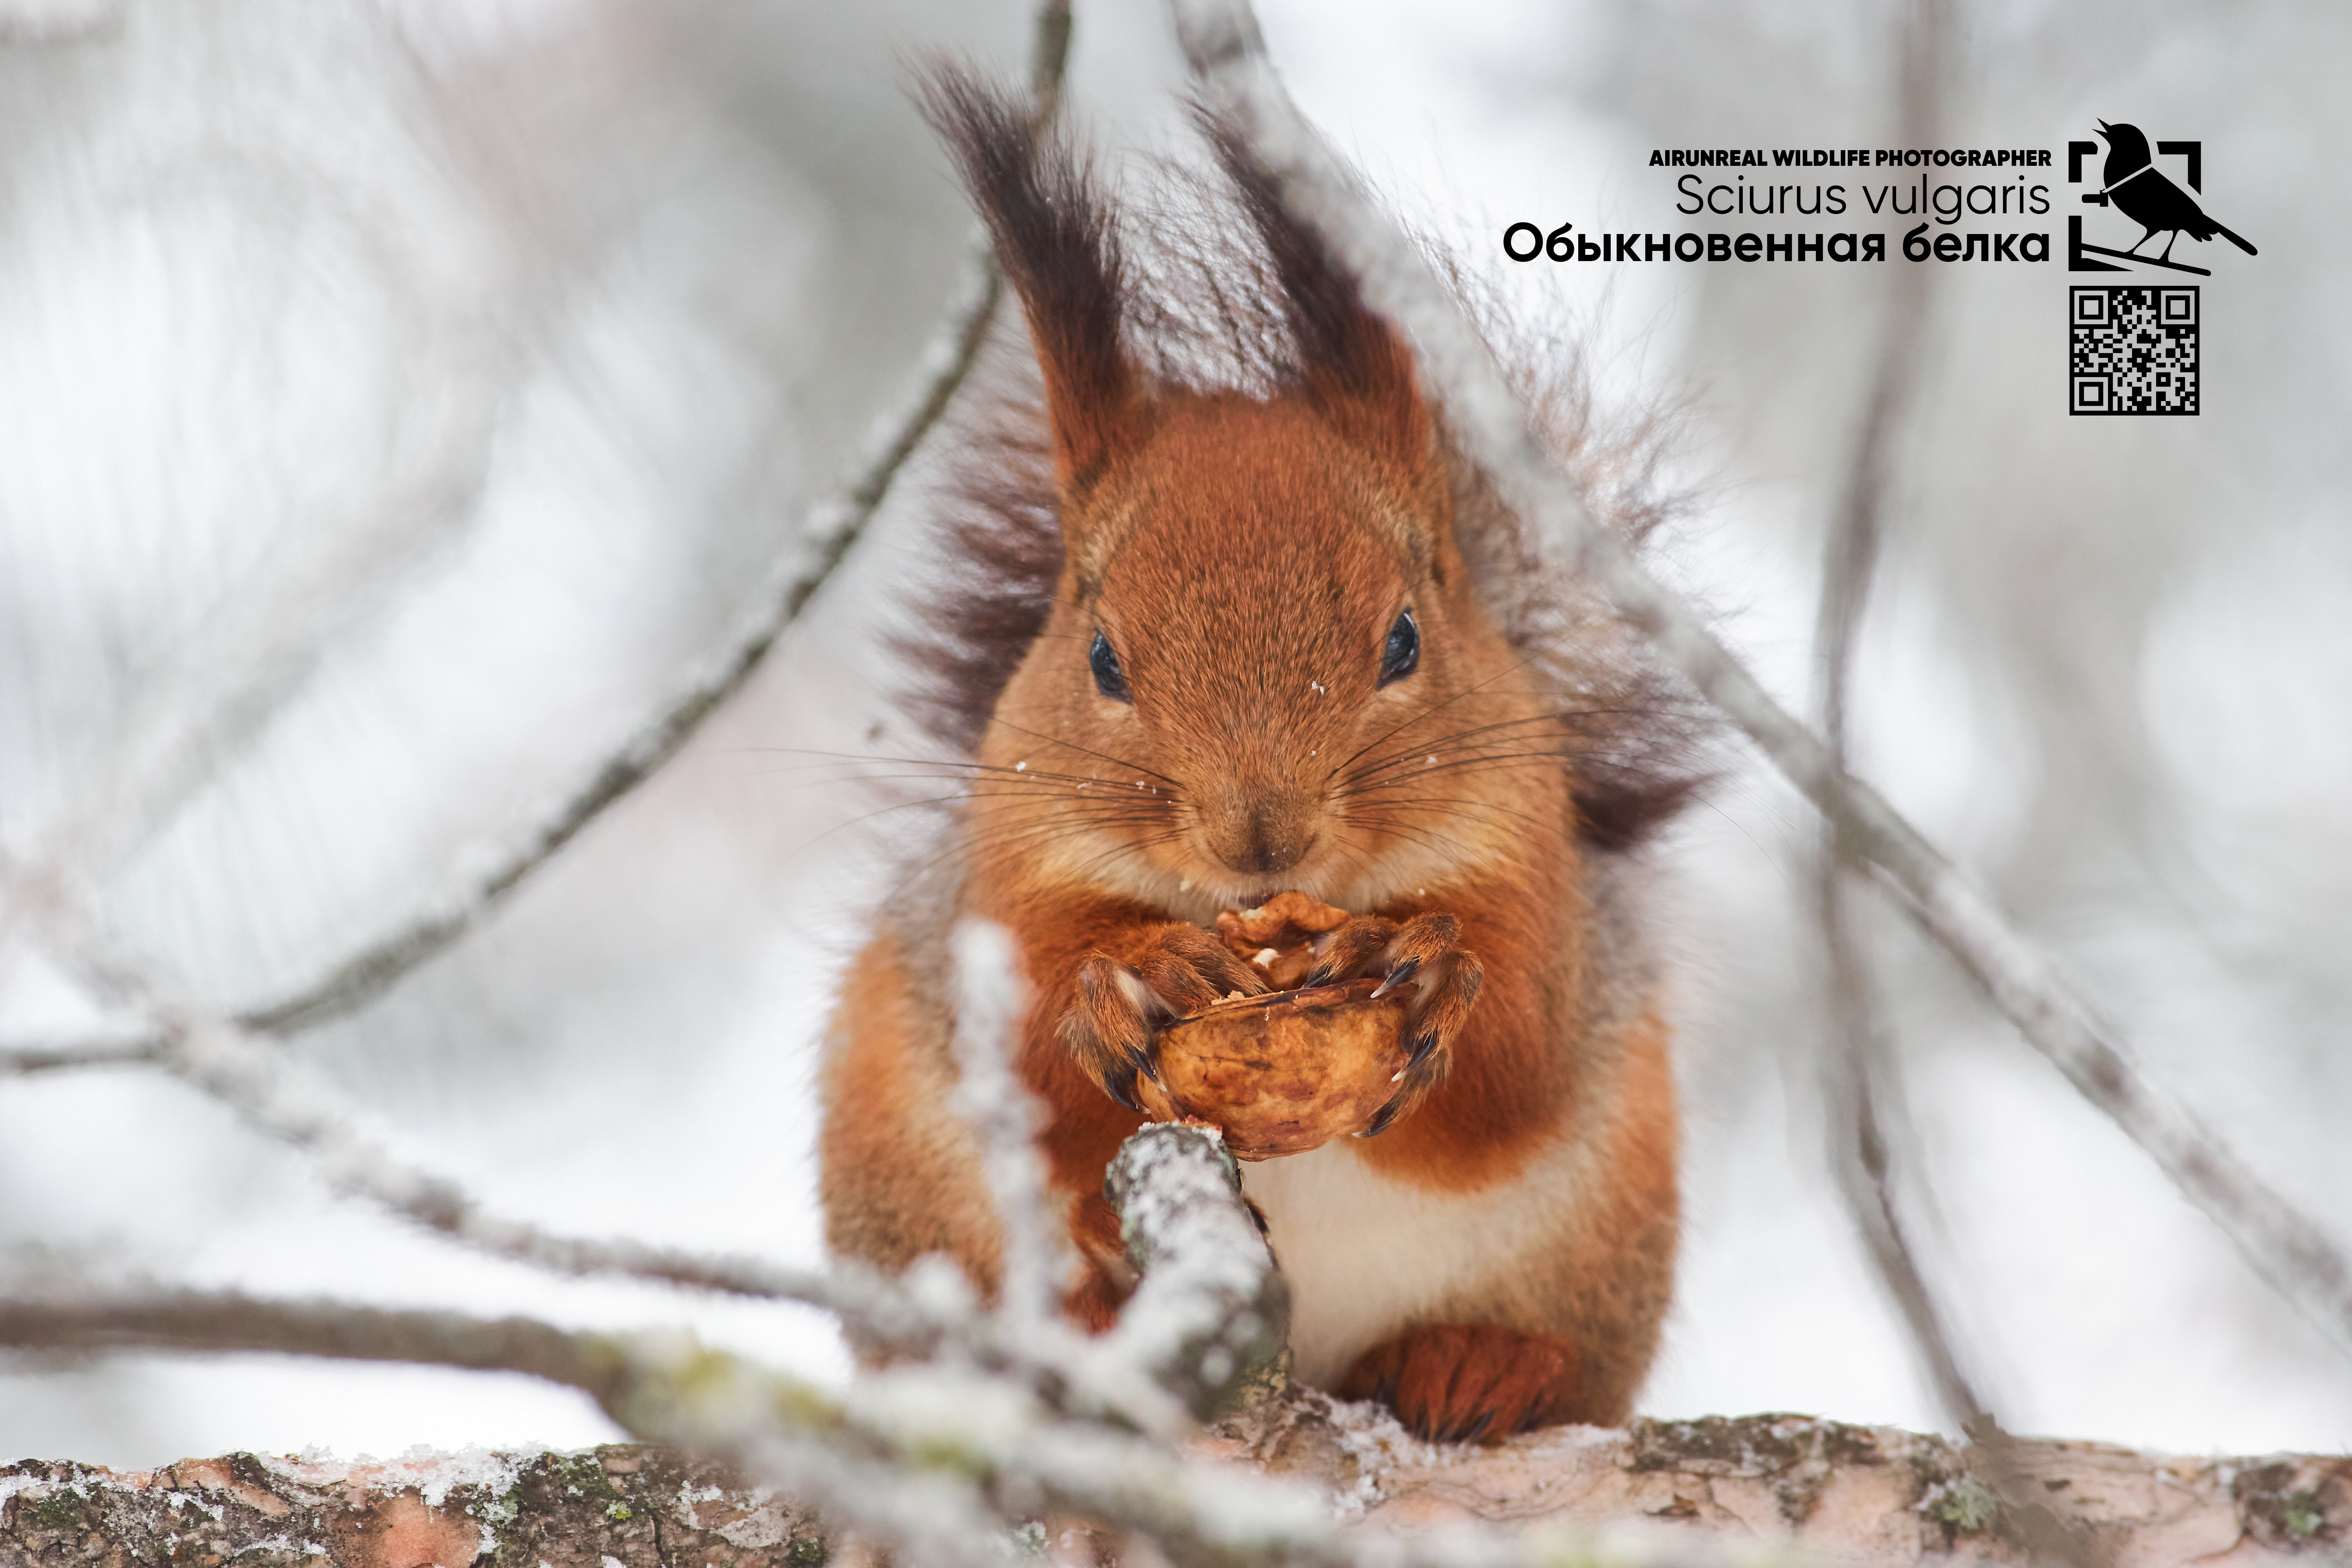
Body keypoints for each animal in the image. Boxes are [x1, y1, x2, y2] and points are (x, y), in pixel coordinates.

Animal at [818, 73, 1703, 1448]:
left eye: (1405, 638)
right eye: (1102, 657)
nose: (1260, 835)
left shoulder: (1539, 882)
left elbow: (1518, 1064)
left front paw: (1421, 966)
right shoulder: (993, 889)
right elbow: (1027, 1059)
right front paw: (1124, 984)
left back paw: (1479, 1362)